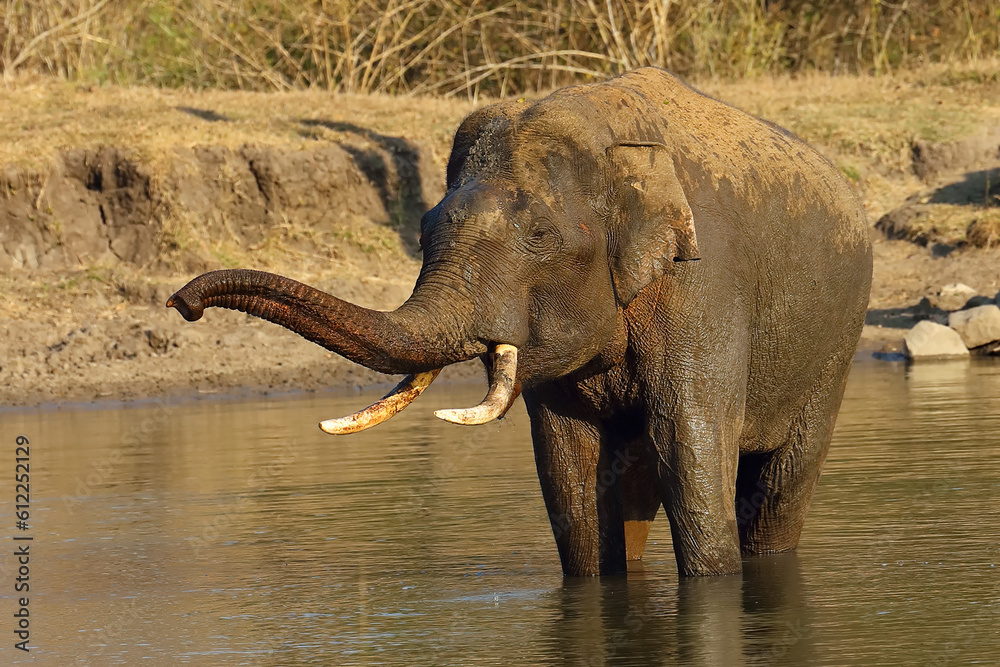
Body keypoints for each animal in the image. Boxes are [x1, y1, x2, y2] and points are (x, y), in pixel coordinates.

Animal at [168, 67, 872, 577]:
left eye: (538, 236)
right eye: (422, 233)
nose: (183, 302)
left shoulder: (705, 283)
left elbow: (689, 443)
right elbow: (567, 467)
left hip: (835, 343)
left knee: (780, 486)